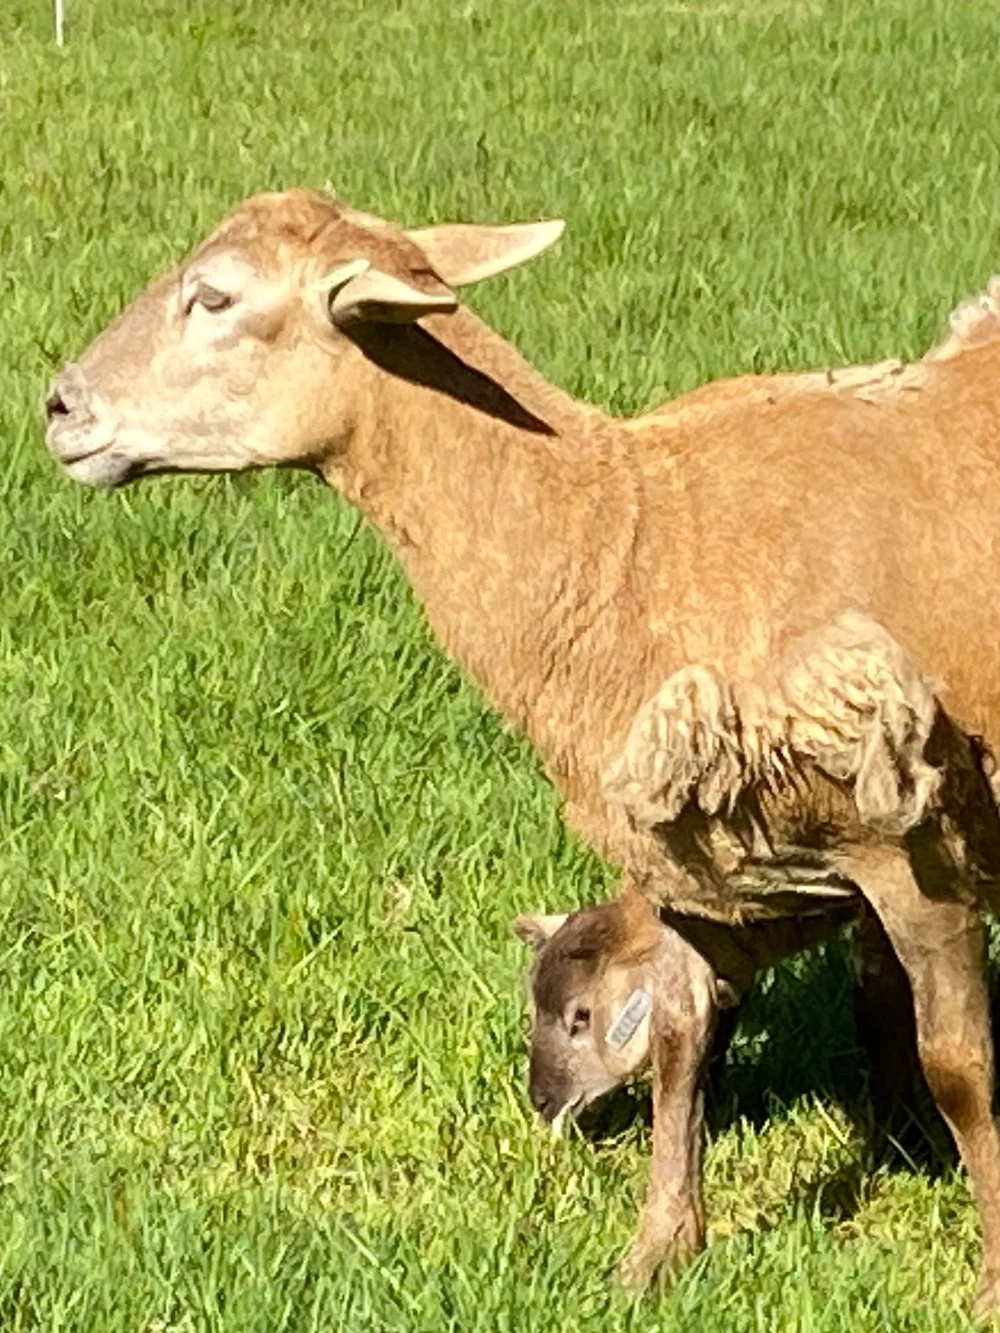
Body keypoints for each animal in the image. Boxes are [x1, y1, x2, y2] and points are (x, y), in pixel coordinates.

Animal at [43, 187, 1000, 1311]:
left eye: (215, 295)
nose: (59, 406)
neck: (627, 543)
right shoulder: (683, 851)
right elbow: (682, 1038)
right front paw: (656, 1254)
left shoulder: (912, 845)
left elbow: (958, 1066)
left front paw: (988, 1275)